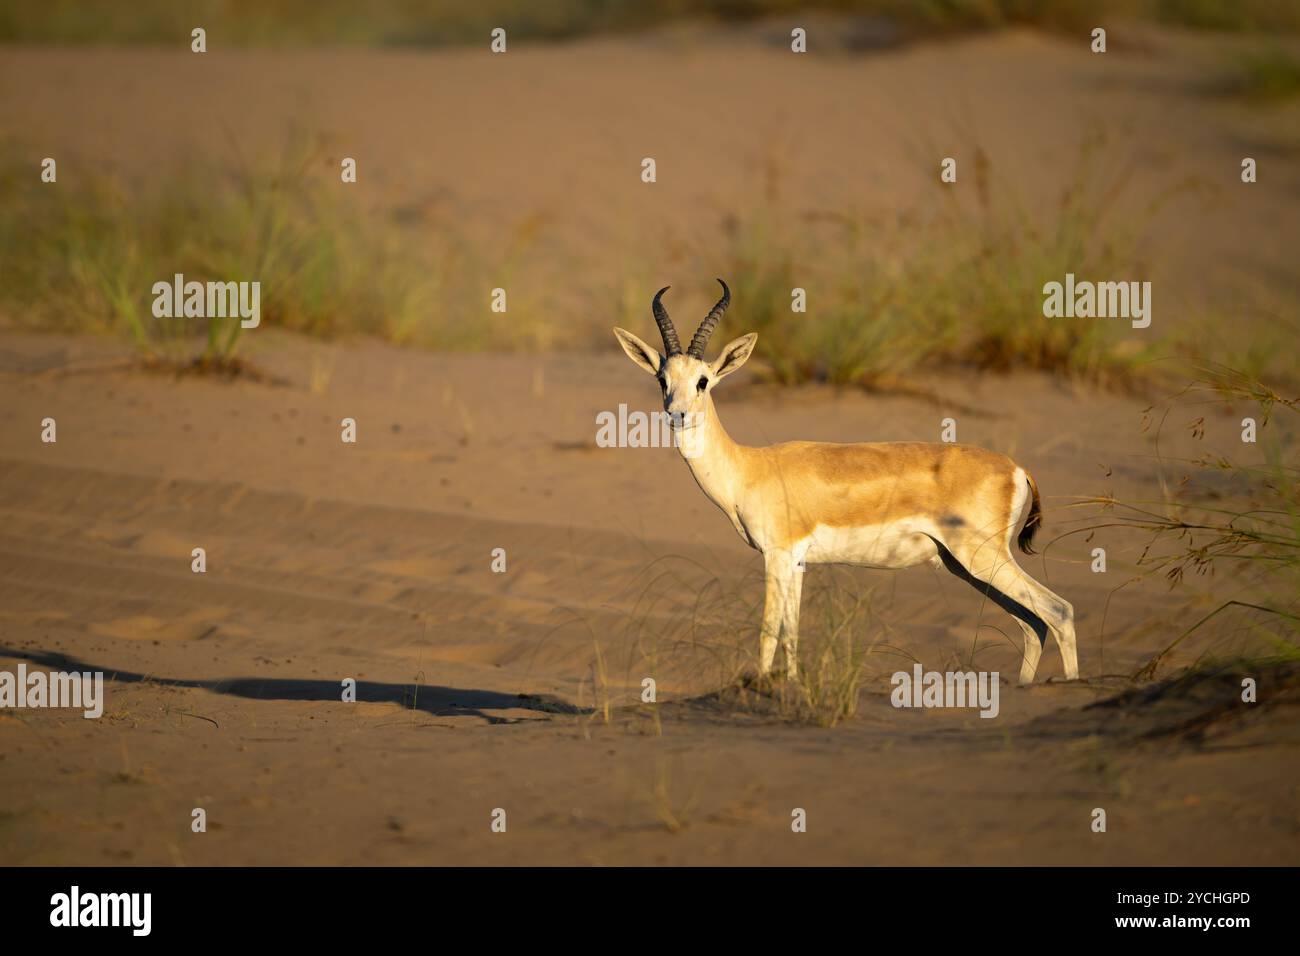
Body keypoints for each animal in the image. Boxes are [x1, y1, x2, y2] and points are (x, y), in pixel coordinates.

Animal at [613, 279, 1078, 684]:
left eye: (703, 381)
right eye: (662, 379)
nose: (677, 415)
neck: (749, 468)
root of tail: (1017, 469)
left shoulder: (777, 556)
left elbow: (768, 631)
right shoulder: (797, 563)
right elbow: (792, 633)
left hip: (982, 559)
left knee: (1058, 612)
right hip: (967, 566)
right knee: (1032, 624)